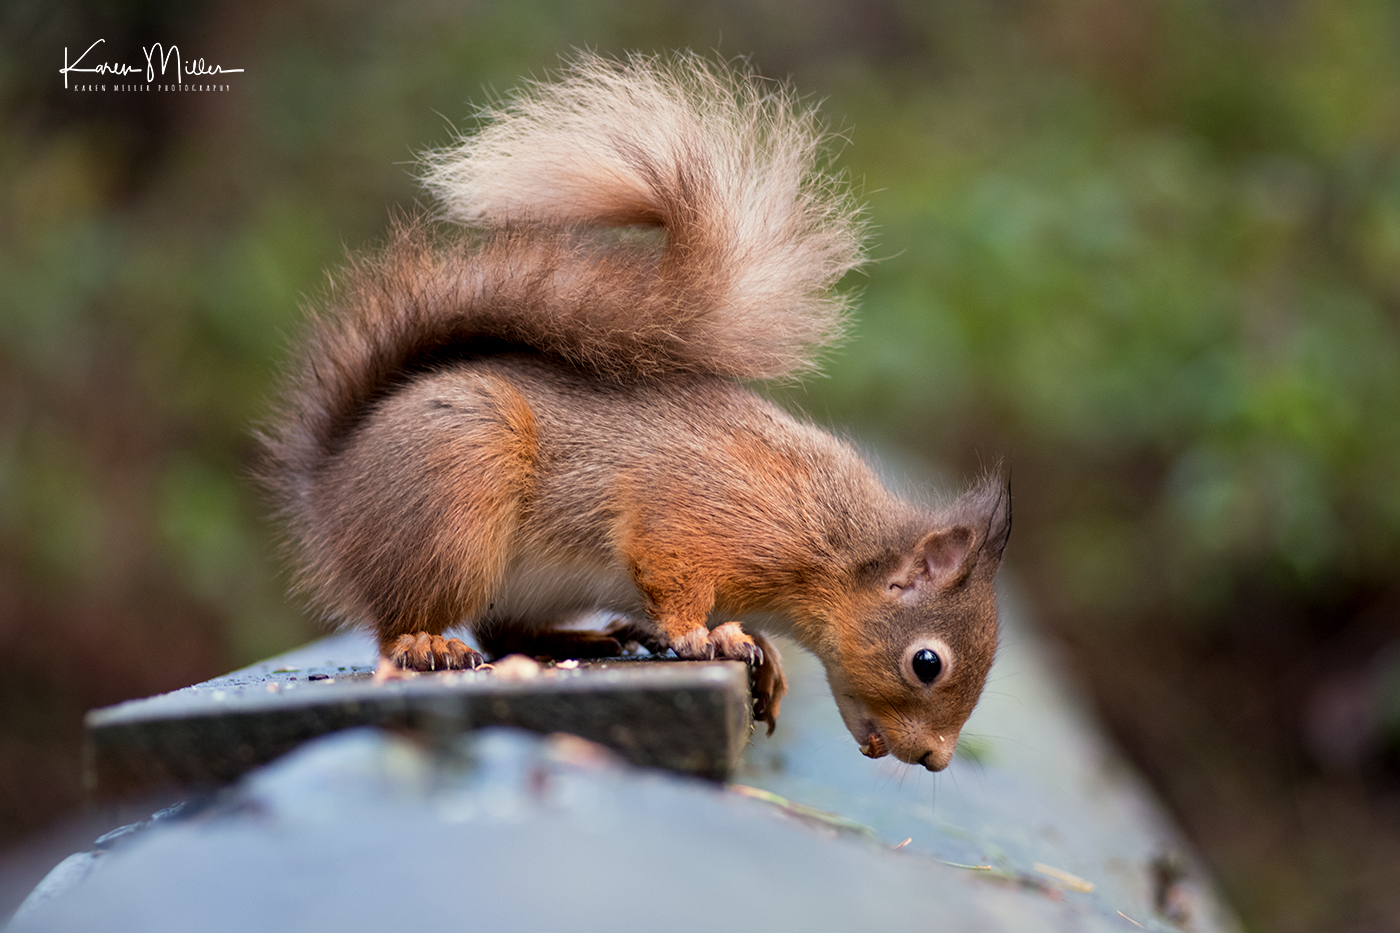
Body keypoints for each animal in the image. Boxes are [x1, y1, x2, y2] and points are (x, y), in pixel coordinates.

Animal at [256, 52, 1010, 771]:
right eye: (926, 662)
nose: (936, 759)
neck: (830, 544)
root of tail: (331, 489)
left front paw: (758, 650)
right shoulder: (699, 519)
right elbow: (670, 573)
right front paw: (700, 635)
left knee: (504, 631)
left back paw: (592, 637)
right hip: (454, 503)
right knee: (401, 628)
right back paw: (427, 643)